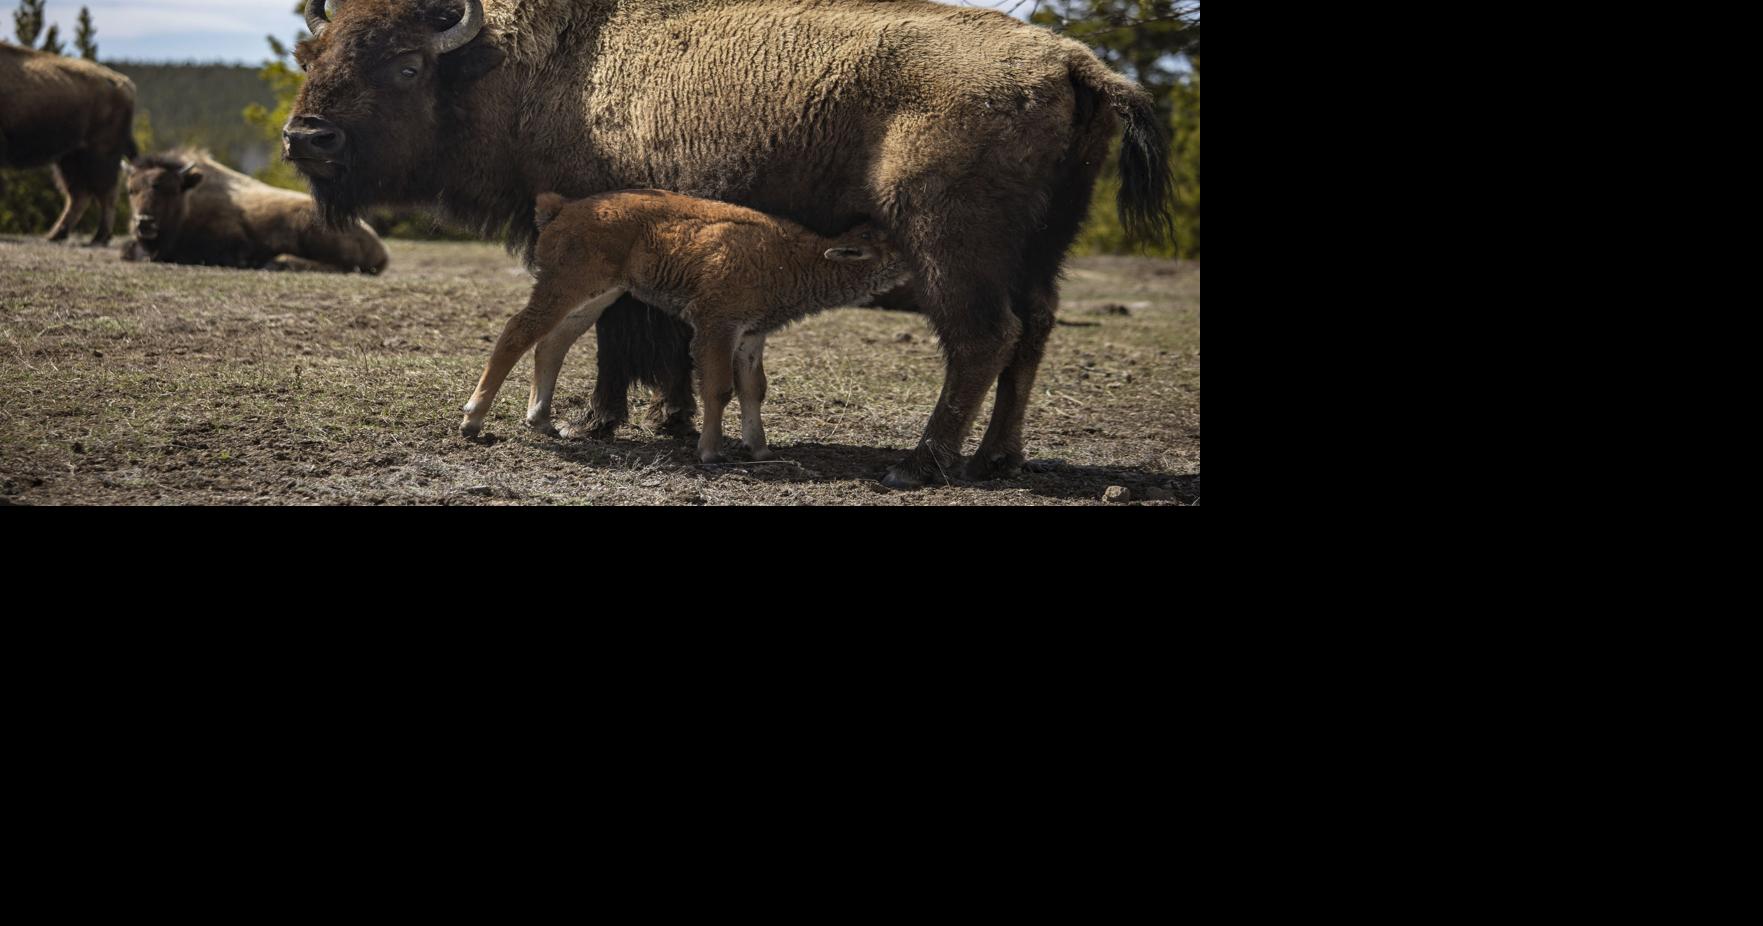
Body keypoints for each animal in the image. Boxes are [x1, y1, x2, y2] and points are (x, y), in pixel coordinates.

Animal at [1, 41, 137, 246]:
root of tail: (124, 83)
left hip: (100, 155)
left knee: (106, 192)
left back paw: (99, 237)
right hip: (69, 159)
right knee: (80, 195)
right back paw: (56, 234)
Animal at [122, 150, 388, 273]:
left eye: (170, 190)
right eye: (130, 190)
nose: (144, 222)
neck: (188, 203)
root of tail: (380, 246)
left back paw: (279, 262)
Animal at [286, 0, 1171, 488]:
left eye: (406, 65)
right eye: (313, 52)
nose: (306, 137)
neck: (532, 62)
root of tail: (1074, 63)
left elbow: (623, 334)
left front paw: (605, 420)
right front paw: (670, 419)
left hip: (949, 248)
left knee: (982, 339)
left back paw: (918, 463)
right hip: (1042, 249)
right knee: (1035, 331)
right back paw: (997, 459)